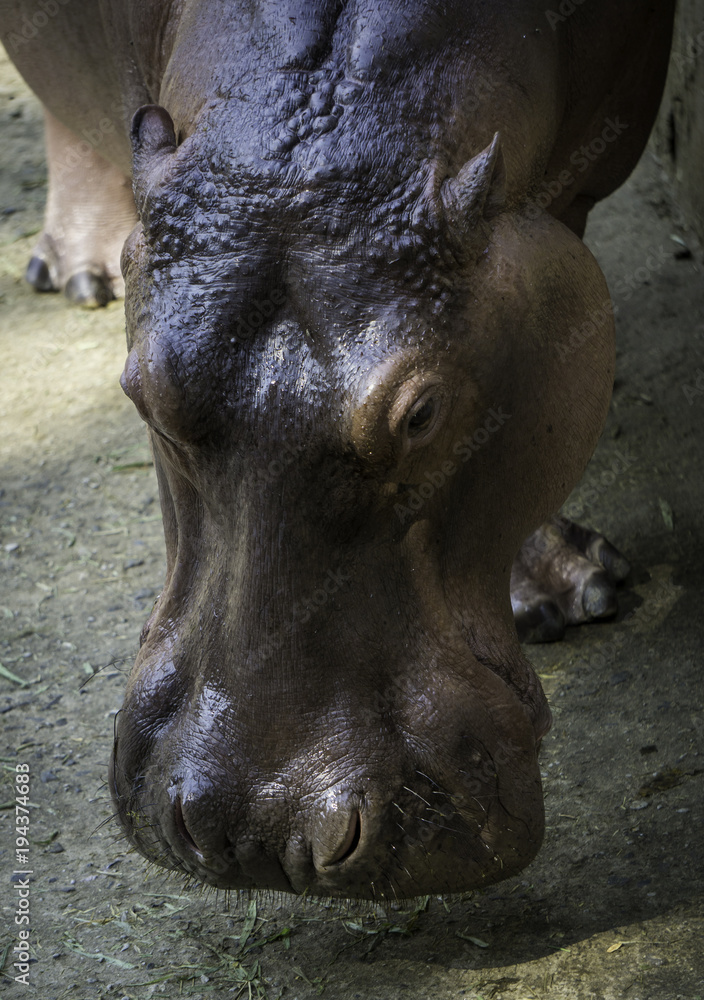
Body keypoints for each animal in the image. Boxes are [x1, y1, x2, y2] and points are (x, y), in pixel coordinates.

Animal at [1, 1, 675, 898]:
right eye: (141, 389)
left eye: (422, 414)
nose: (256, 832)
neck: (324, 119)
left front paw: (569, 595)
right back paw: (78, 271)